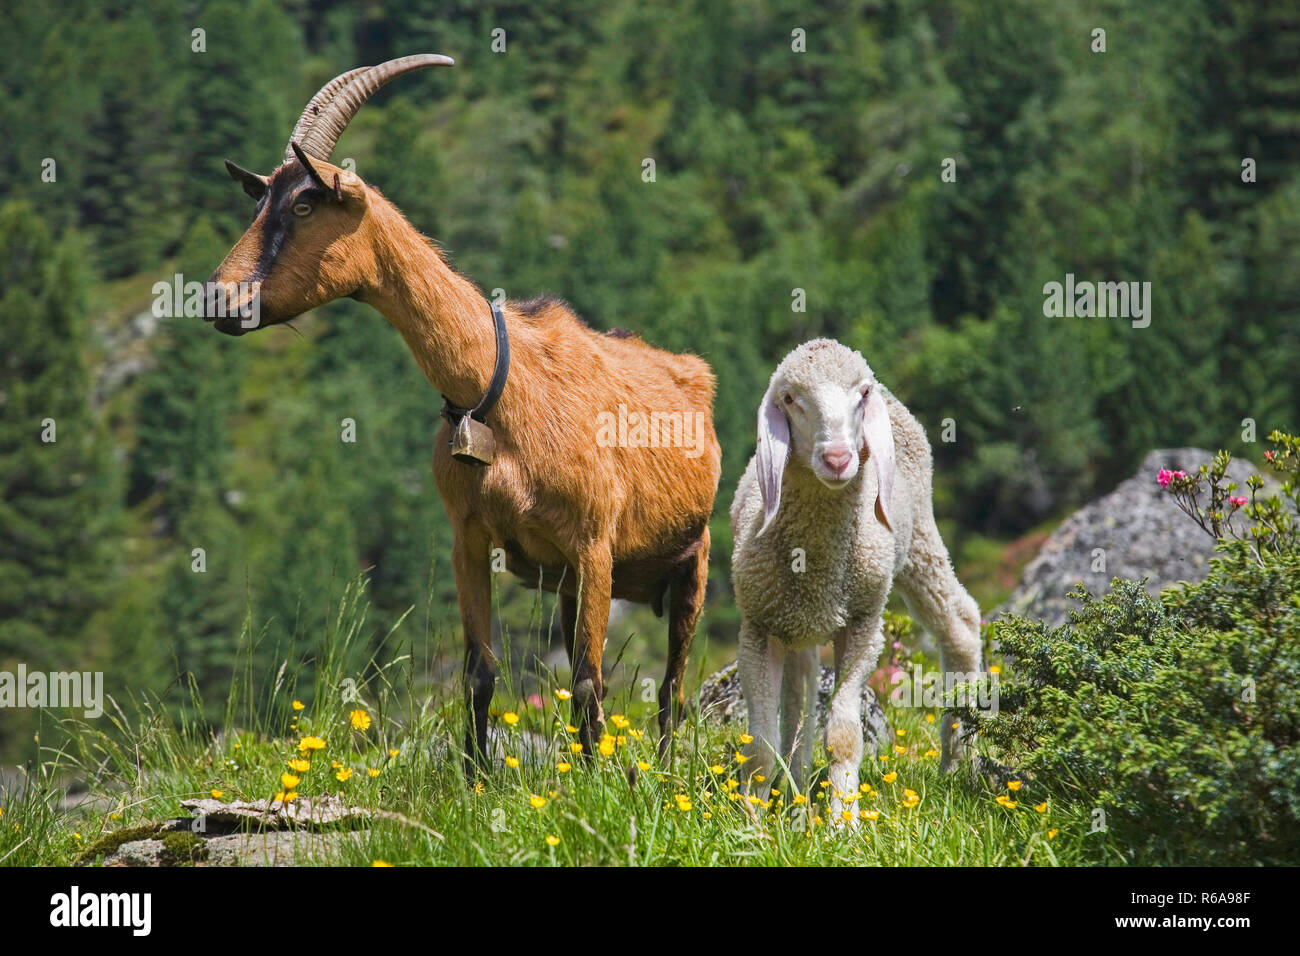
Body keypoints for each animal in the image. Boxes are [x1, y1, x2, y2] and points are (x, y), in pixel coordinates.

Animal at [205, 55, 722, 769]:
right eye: (260, 203)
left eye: (304, 203)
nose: (217, 299)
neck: (498, 390)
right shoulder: (470, 540)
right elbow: (482, 672)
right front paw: (478, 778)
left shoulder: (595, 545)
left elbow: (591, 681)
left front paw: (594, 784)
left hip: (692, 558)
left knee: (672, 682)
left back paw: (663, 766)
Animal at [729, 339, 982, 823]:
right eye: (790, 398)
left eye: (860, 394)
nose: (838, 459)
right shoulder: (757, 627)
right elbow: (761, 749)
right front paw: (750, 824)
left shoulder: (864, 626)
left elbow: (844, 736)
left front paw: (842, 823)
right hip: (798, 622)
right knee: (801, 699)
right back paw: (796, 794)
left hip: (917, 538)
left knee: (959, 624)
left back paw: (958, 760)